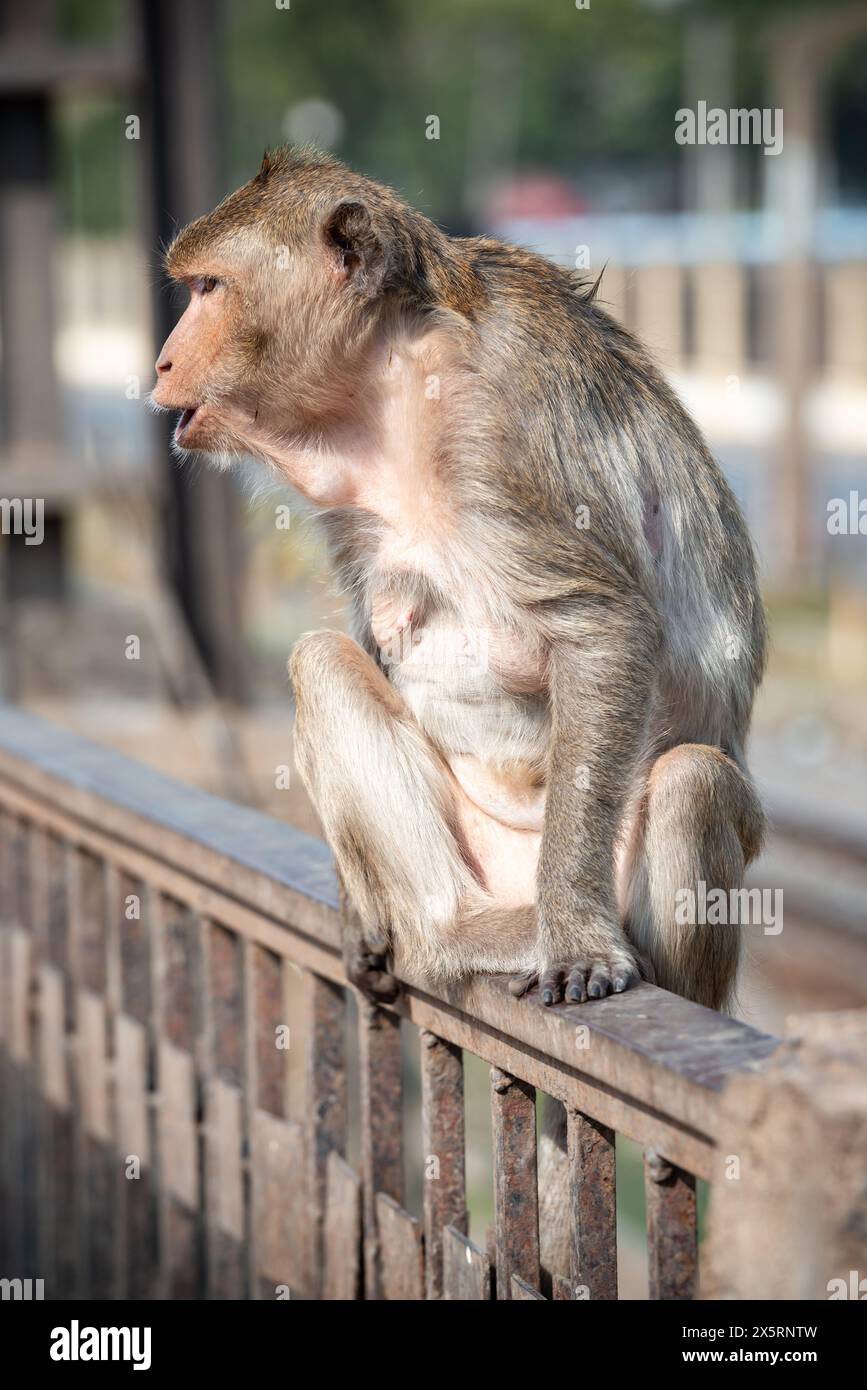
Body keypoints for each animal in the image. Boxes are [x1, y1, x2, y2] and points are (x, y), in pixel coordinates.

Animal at [151, 146, 766, 1020]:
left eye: (208, 288)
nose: (163, 360)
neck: (392, 380)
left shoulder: (499, 429)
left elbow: (603, 626)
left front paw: (576, 941)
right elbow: (371, 641)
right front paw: (355, 909)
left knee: (693, 780)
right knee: (321, 660)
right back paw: (451, 928)